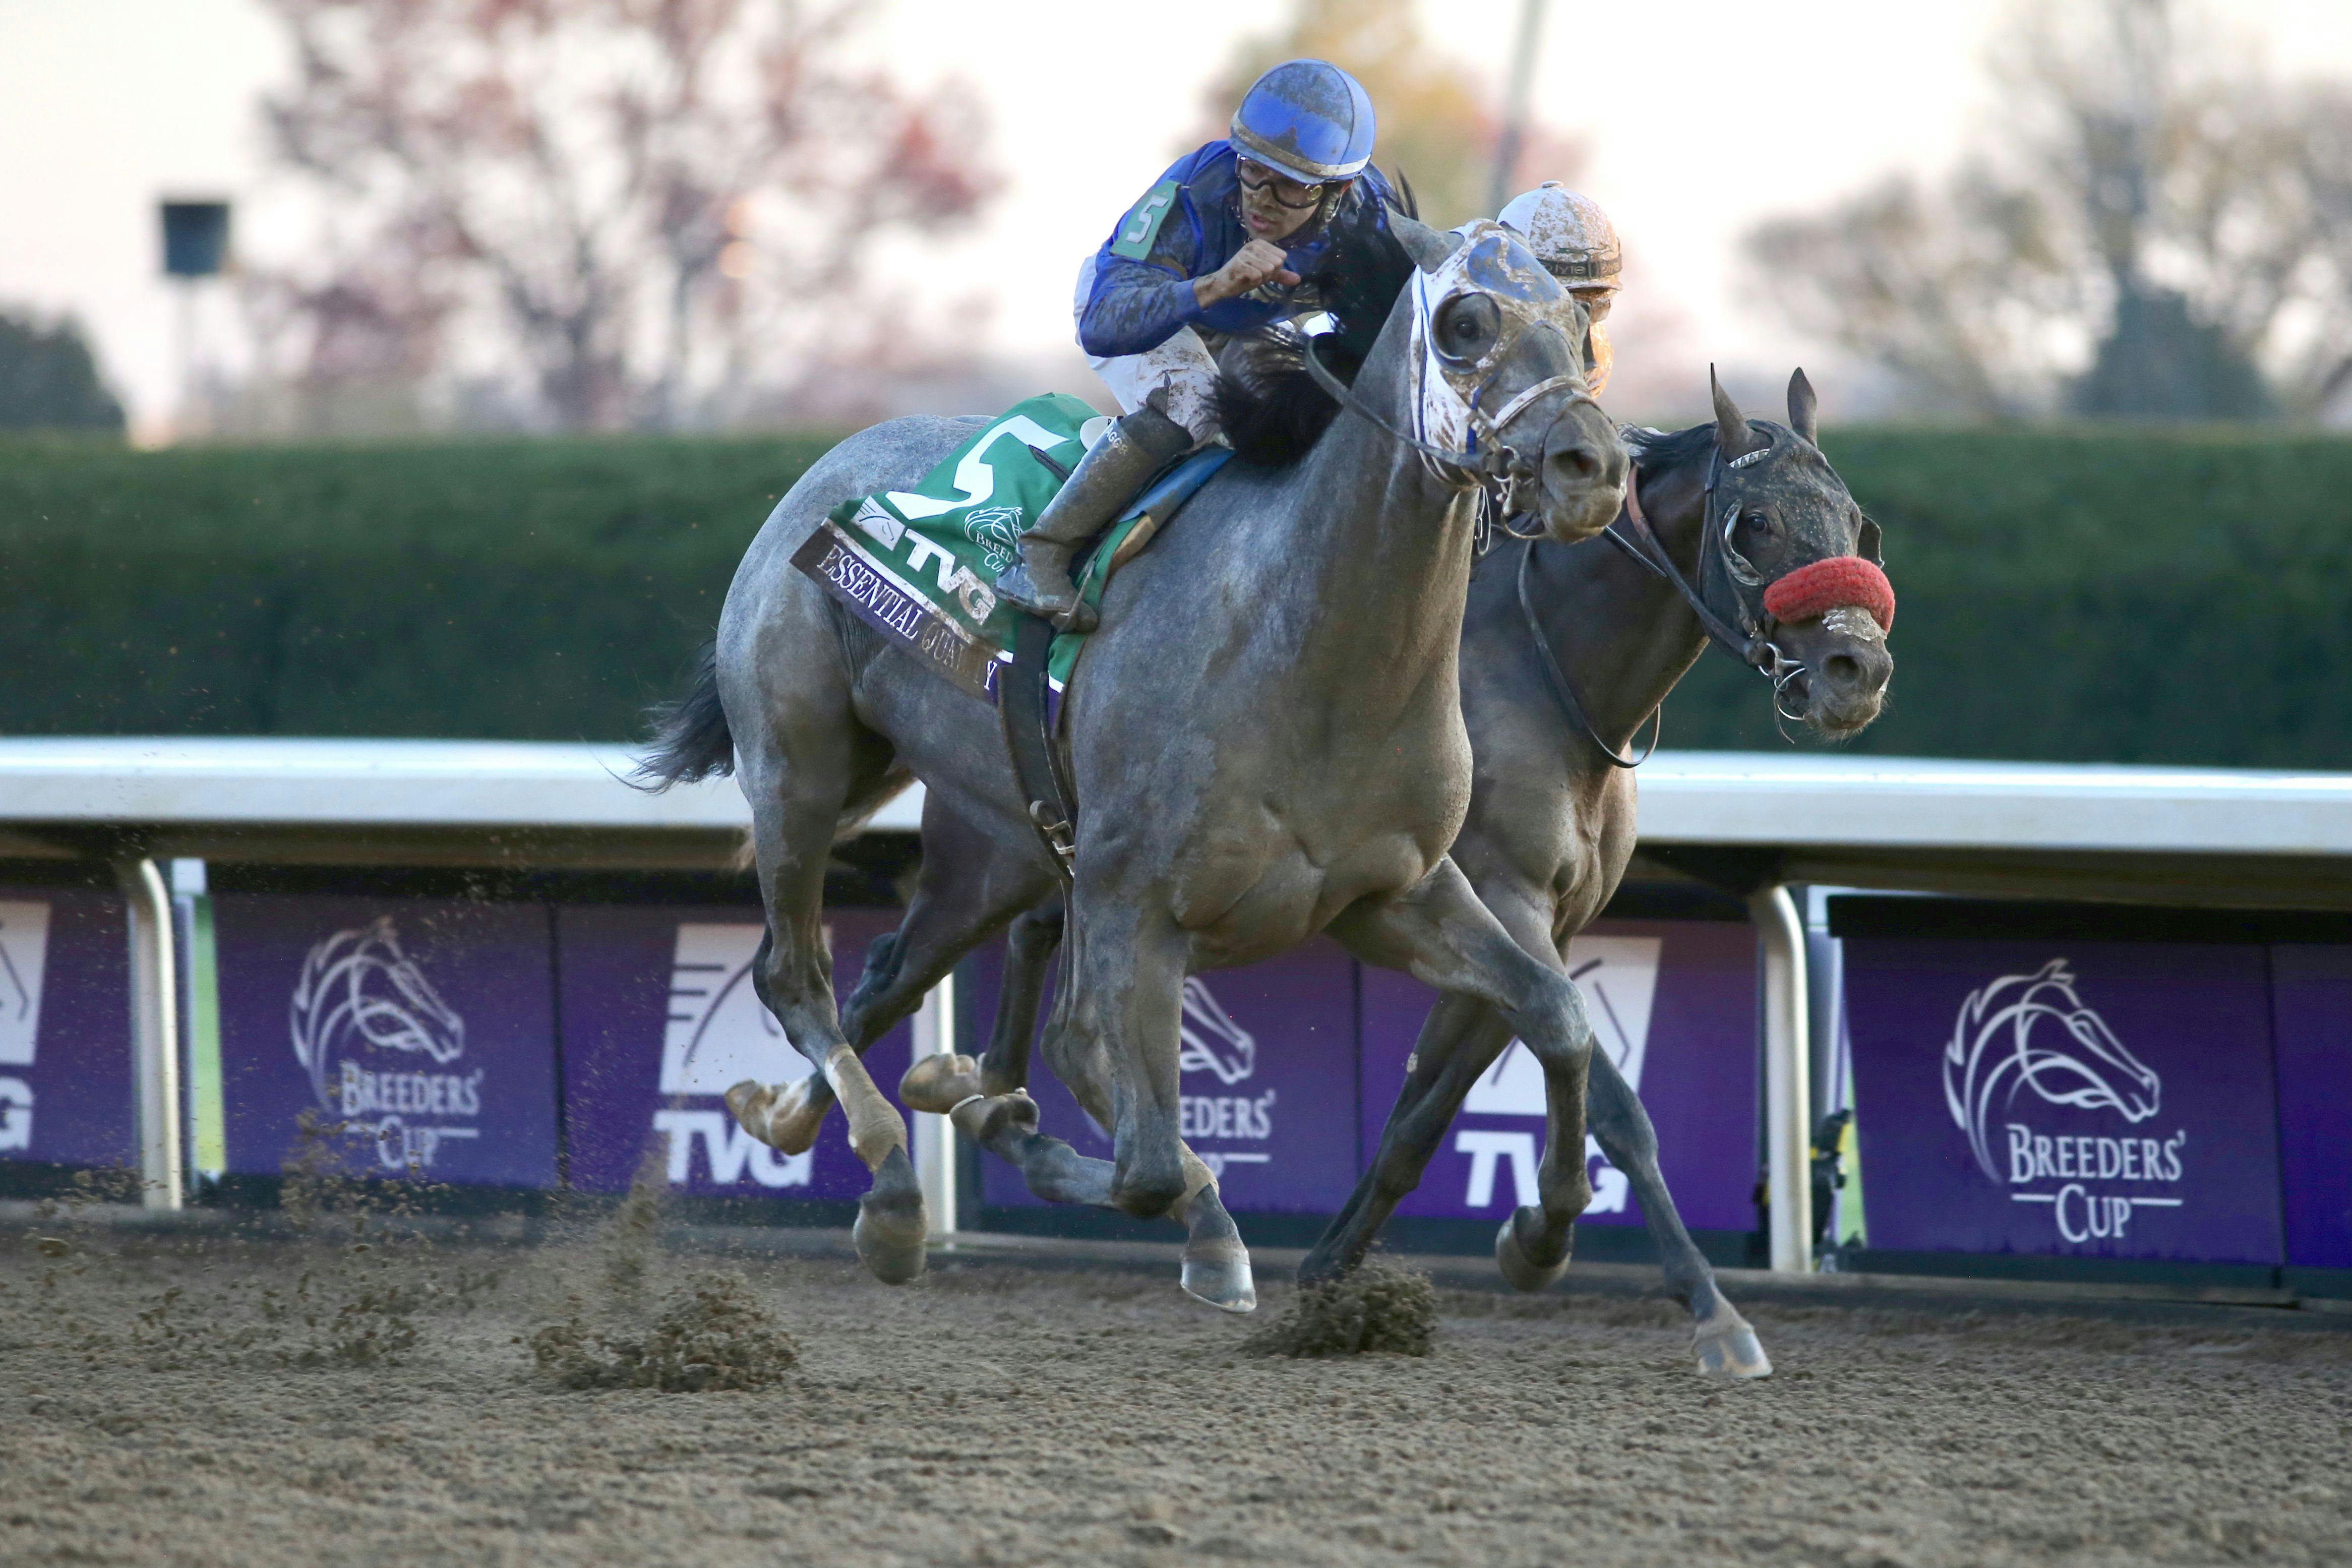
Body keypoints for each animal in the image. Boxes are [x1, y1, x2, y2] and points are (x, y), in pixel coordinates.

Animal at [637, 211, 1628, 1300]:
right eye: (1462, 324)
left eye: (1581, 330)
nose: (1591, 467)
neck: (1310, 657)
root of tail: (828, 464)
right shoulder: (1135, 901)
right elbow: (1142, 1162)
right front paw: (1013, 1122)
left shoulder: (1391, 891)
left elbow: (1555, 1014)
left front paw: (1543, 1231)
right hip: (801, 770)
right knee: (795, 976)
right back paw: (895, 1191)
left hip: (996, 843)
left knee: (893, 977)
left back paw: (793, 1116)